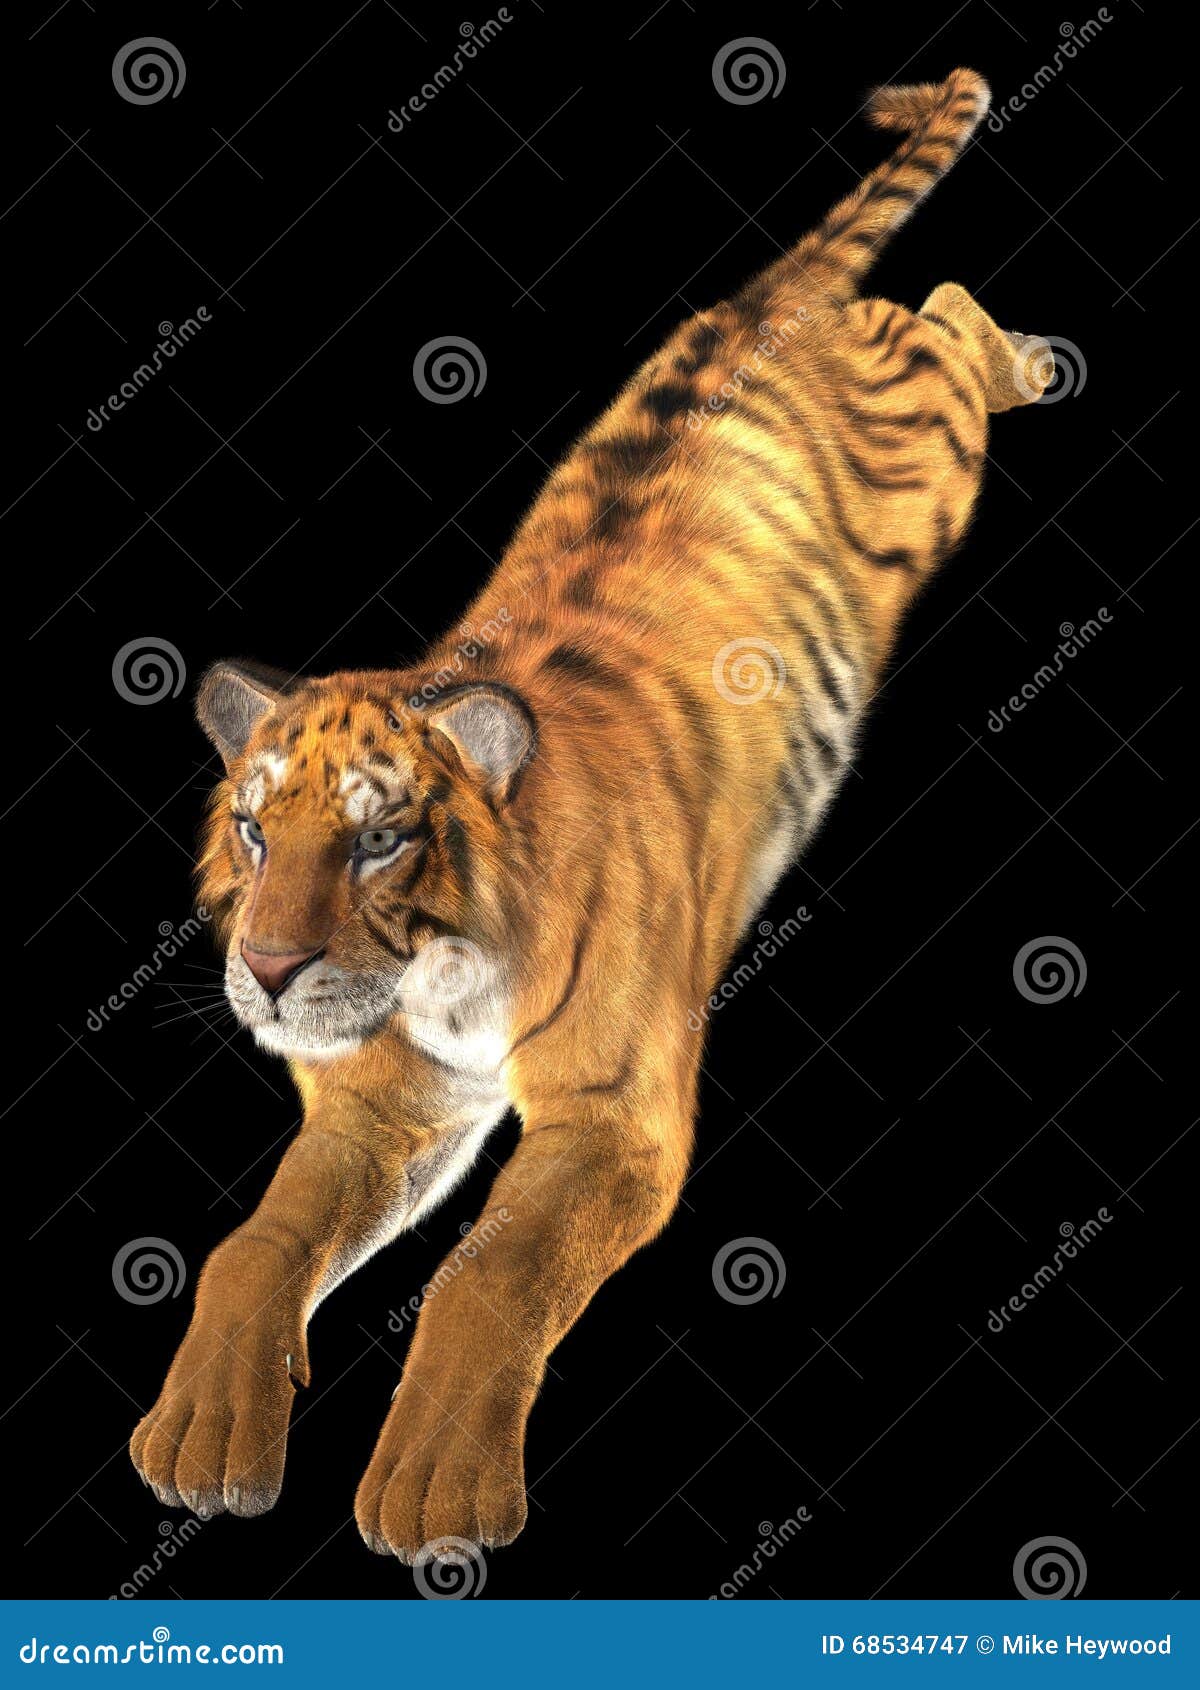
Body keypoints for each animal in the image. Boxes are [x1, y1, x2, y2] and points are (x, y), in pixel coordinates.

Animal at [130, 69, 1053, 1564]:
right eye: (259, 833)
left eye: (380, 836)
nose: (266, 971)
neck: (439, 980)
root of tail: (757, 307)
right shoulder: (385, 1101)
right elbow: (254, 1243)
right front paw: (200, 1436)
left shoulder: (615, 1114)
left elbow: (491, 1272)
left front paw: (431, 1492)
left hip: (938, 439)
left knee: (951, 314)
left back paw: (1036, 357)